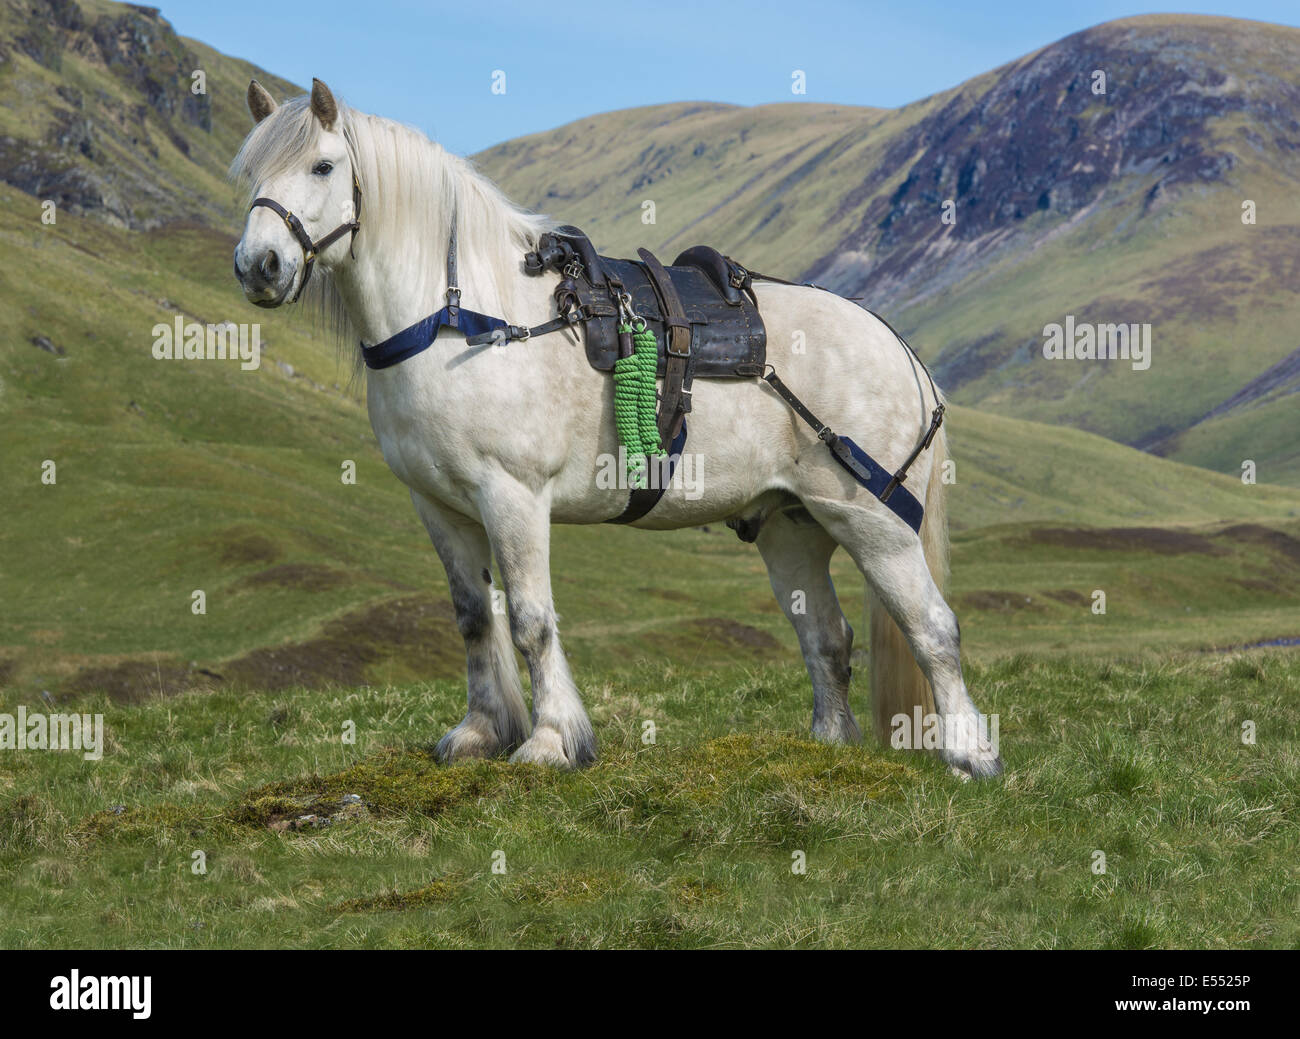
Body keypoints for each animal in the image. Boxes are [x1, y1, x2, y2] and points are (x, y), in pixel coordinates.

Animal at [230, 78, 1003, 780]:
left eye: (323, 166)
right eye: (251, 174)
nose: (258, 267)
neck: (465, 321)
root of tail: (901, 350)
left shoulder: (511, 495)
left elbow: (530, 620)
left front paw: (550, 742)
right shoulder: (440, 506)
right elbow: (474, 617)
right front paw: (482, 733)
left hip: (873, 521)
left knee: (934, 629)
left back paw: (970, 755)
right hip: (793, 526)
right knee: (828, 639)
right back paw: (830, 745)